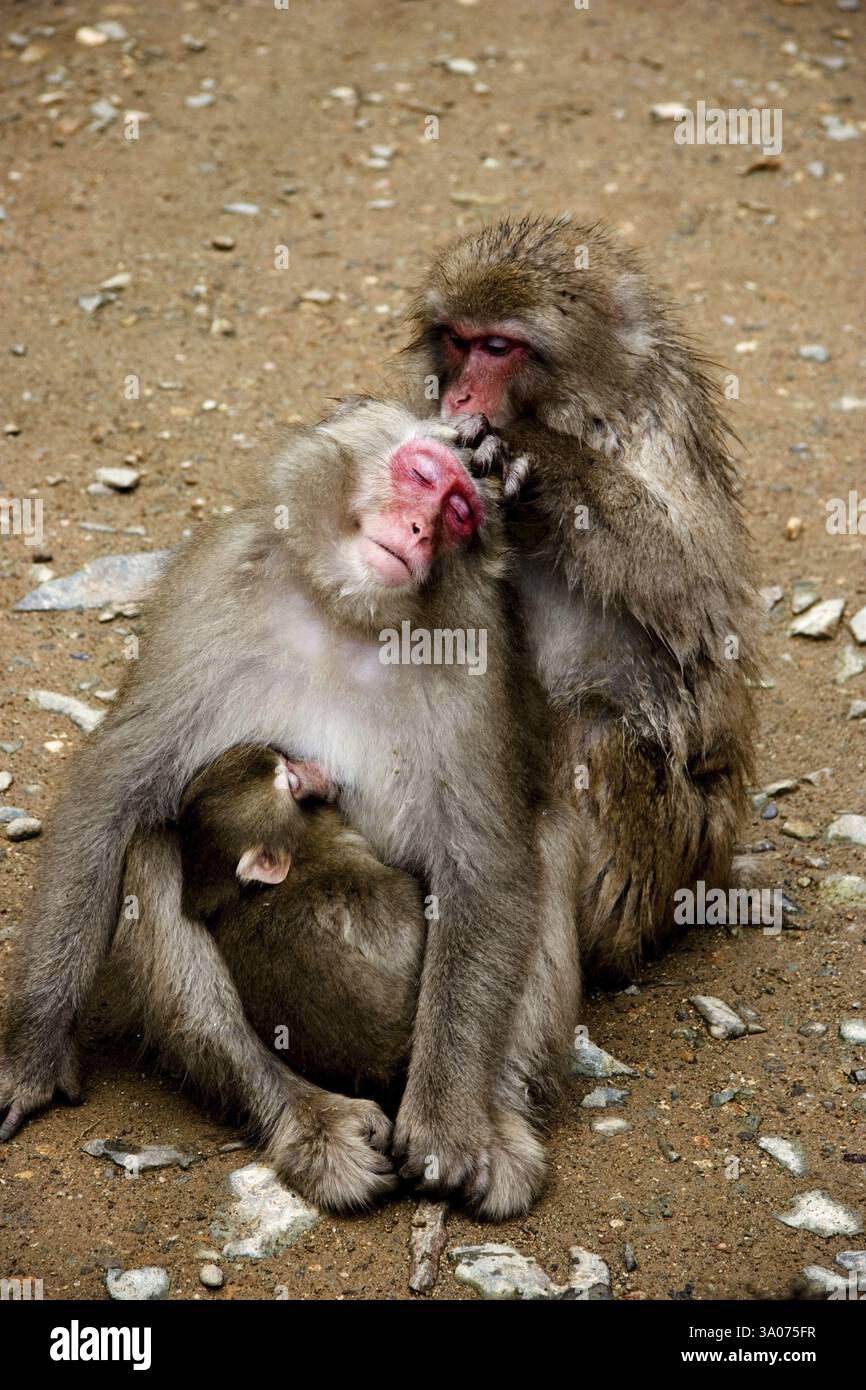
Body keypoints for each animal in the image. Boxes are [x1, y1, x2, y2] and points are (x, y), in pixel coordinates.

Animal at [1, 399, 581, 1217]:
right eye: (421, 475)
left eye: (460, 514)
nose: (418, 531)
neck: (349, 615)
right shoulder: (213, 590)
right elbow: (110, 795)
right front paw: (33, 1053)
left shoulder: (480, 654)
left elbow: (488, 864)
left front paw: (449, 1125)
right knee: (150, 847)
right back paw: (307, 1116)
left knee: (548, 838)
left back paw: (493, 1116)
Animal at [404, 214, 760, 981]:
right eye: (456, 339)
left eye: (499, 347)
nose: (458, 399)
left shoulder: (661, 420)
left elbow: (694, 585)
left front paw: (534, 455)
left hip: (682, 843)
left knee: (608, 735)